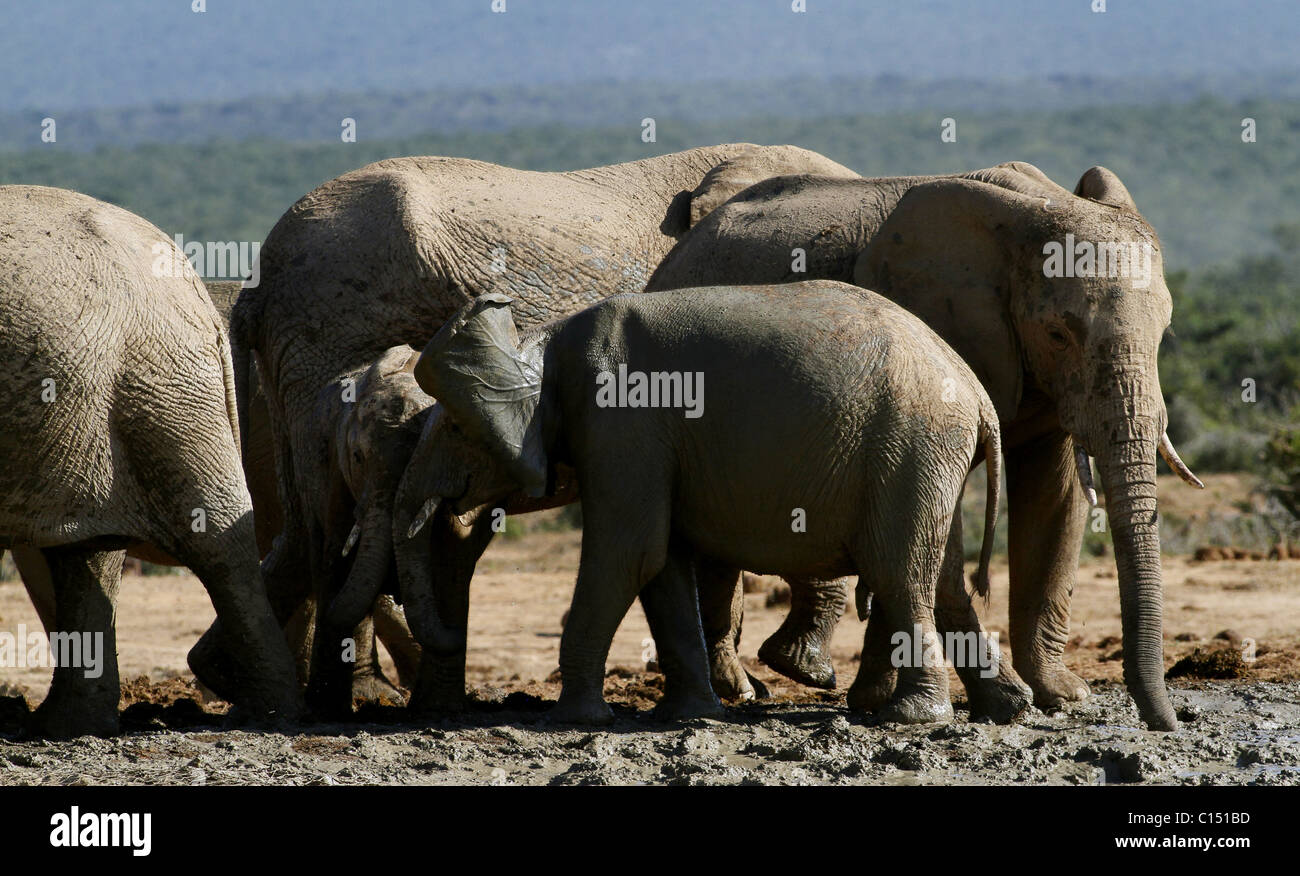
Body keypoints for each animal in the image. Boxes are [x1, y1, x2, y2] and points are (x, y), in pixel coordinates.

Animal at [0, 185, 301, 738]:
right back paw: (65, 725)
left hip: (161, 386)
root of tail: (197, 294)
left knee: (215, 539)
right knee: (85, 547)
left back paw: (267, 714)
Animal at [201, 144, 857, 713]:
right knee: (328, 533)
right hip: (328, 334)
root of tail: (257, 286)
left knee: (305, 532)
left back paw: (236, 683)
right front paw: (762, 686)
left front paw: (754, 685)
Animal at [386, 281, 1003, 724]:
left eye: (458, 429)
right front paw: (687, 714)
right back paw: (994, 710)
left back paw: (911, 718)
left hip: (911, 446)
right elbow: (662, 565)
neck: (545, 338)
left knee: (901, 573)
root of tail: (978, 395)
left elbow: (627, 554)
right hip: (930, 458)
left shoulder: (621, 422)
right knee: (941, 578)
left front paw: (577, 720)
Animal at [644, 162, 1204, 730]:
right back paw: (746, 688)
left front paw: (1062, 697)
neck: (1033, 210)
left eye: (1165, 333)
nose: (1168, 723)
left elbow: (1055, 500)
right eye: (1058, 333)